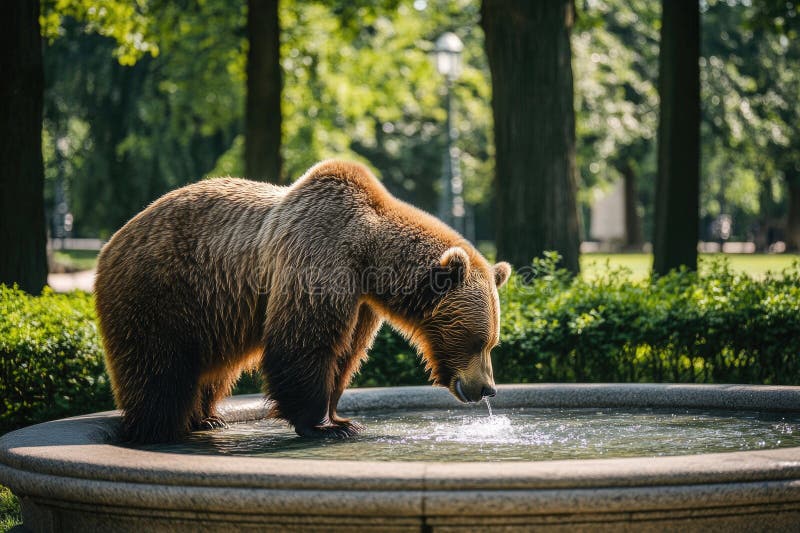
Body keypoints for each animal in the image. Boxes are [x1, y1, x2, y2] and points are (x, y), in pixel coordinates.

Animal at [95, 159, 511, 443]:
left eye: (493, 342)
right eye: (478, 340)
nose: (488, 389)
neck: (368, 258)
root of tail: (112, 241)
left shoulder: (360, 303)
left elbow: (345, 354)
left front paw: (341, 418)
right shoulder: (320, 260)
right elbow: (305, 342)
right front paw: (322, 425)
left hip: (212, 314)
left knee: (213, 369)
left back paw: (208, 418)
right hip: (162, 292)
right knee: (157, 367)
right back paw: (158, 428)